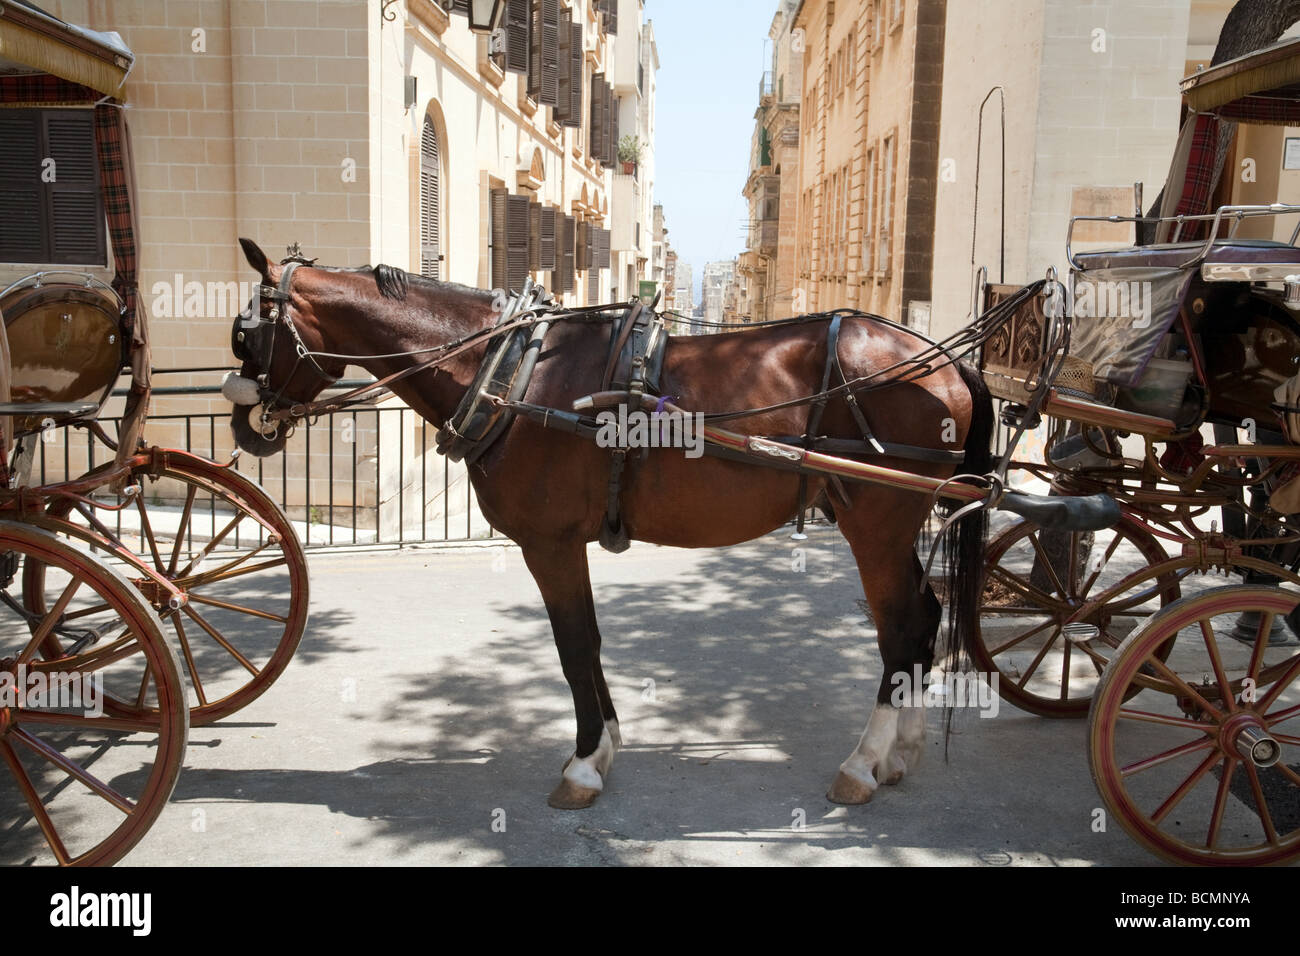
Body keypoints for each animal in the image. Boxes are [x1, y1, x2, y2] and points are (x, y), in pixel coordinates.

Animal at [224, 238, 991, 810]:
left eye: (247, 335)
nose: (240, 420)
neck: (511, 370)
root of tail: (944, 360)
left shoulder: (549, 543)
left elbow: (572, 647)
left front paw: (584, 762)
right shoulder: (567, 543)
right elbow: (588, 643)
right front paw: (608, 745)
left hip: (877, 526)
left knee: (900, 627)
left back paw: (863, 761)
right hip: (892, 523)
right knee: (925, 616)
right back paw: (903, 750)